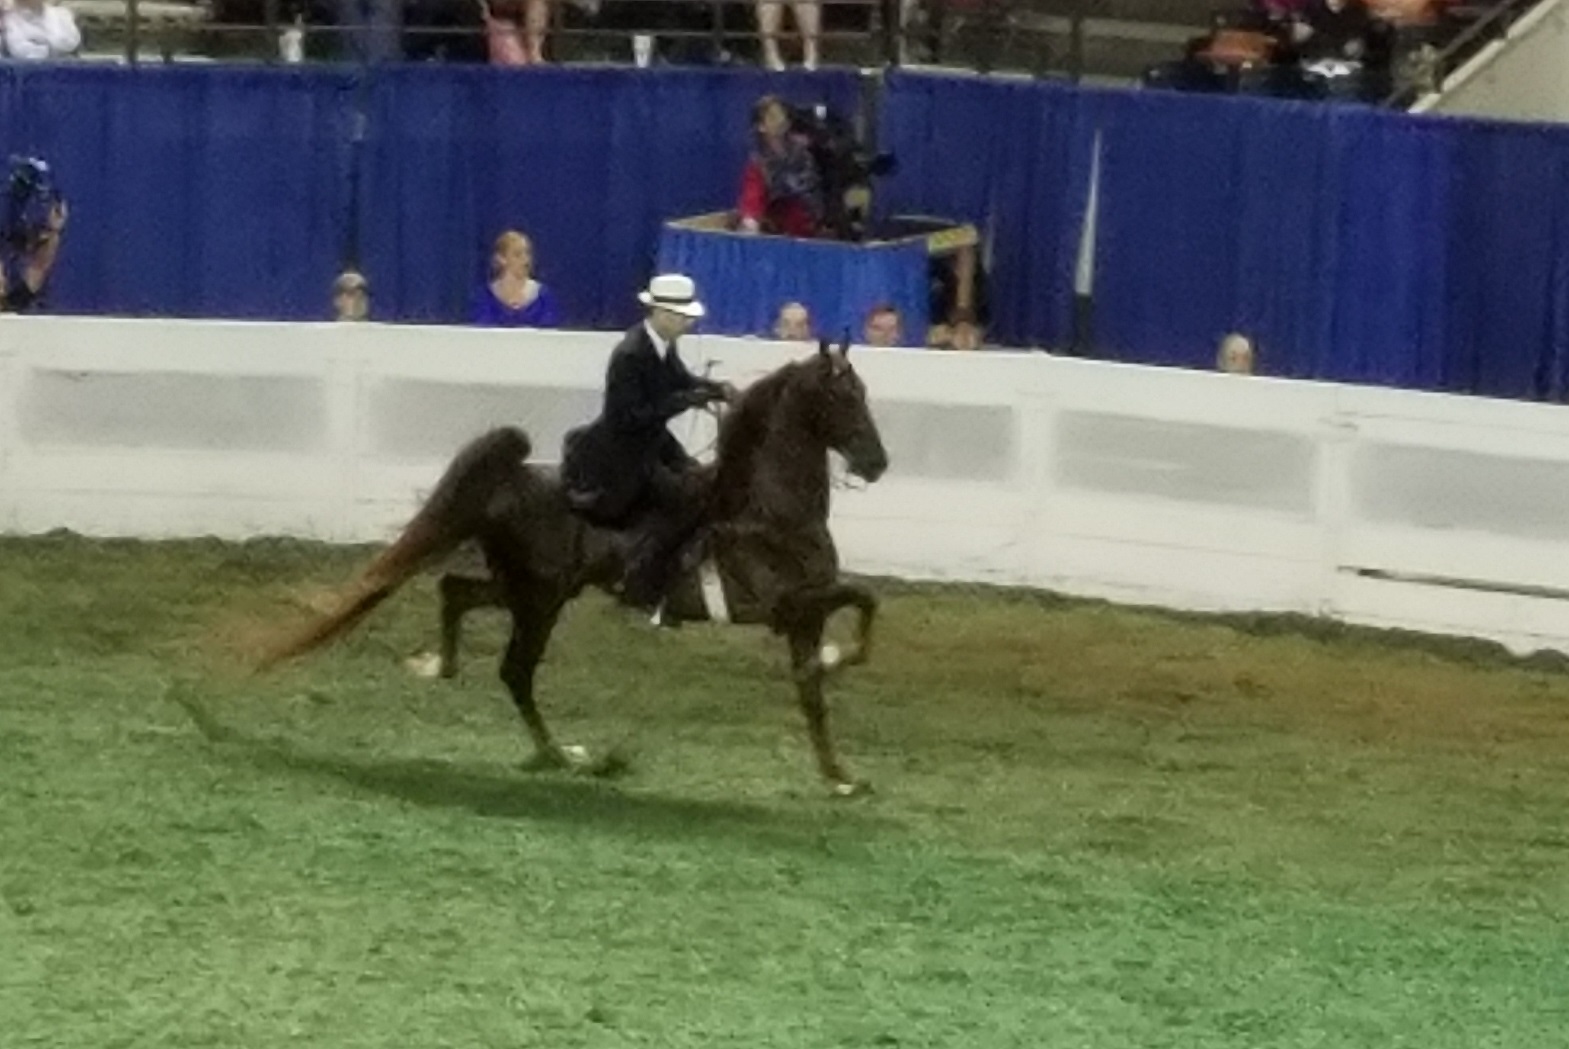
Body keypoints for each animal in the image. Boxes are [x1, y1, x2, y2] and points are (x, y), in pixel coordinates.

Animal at [253, 337, 890, 795]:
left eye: (863, 393)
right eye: (844, 398)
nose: (877, 463)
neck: (767, 510)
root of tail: (510, 480)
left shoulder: (803, 616)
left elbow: (816, 694)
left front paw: (841, 776)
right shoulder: (783, 605)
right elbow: (863, 600)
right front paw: (840, 659)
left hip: (528, 589)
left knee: (455, 590)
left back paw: (446, 670)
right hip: (540, 599)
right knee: (514, 671)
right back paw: (556, 754)